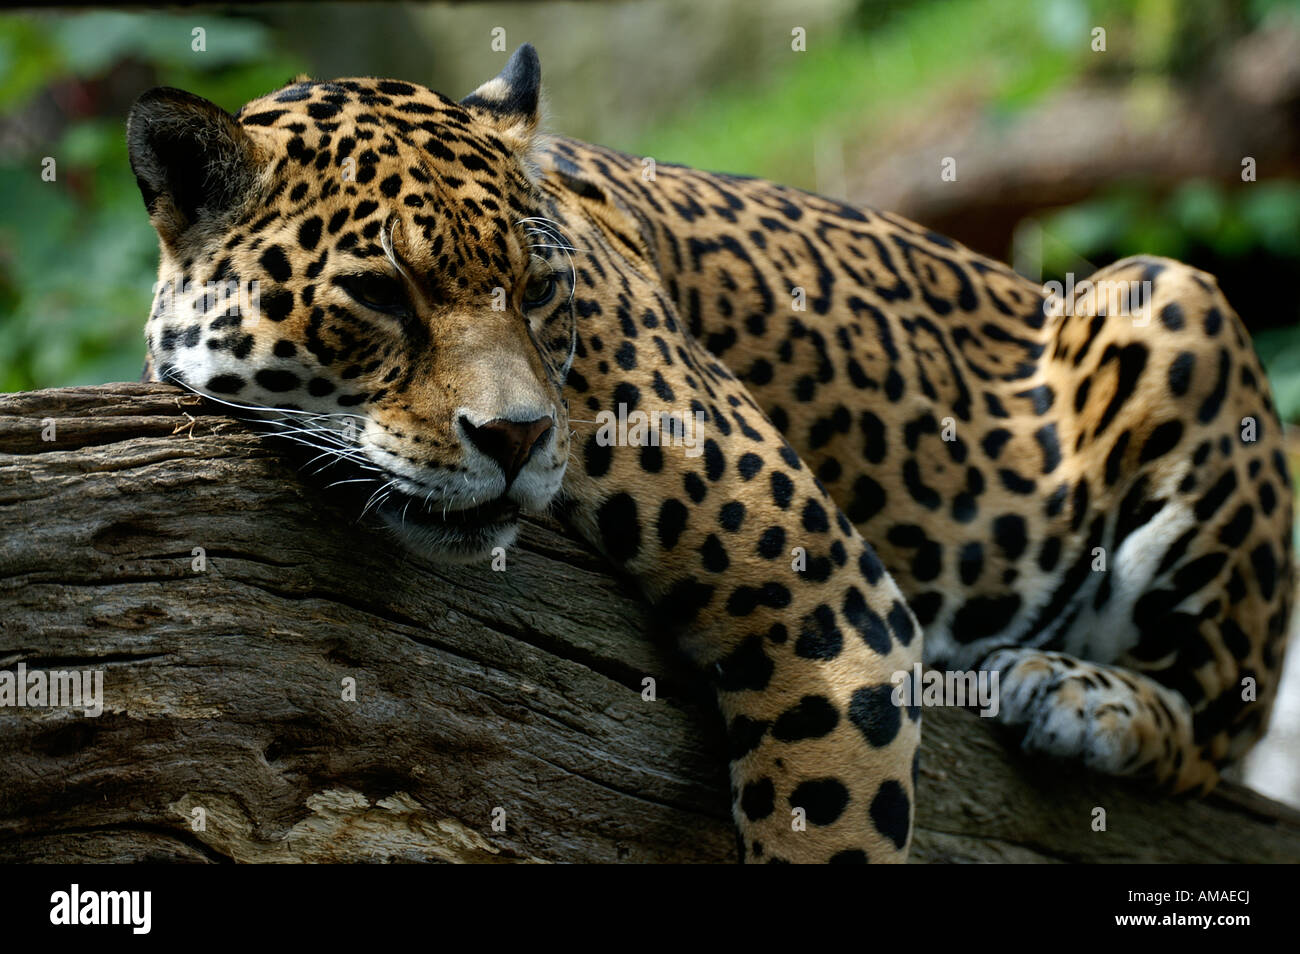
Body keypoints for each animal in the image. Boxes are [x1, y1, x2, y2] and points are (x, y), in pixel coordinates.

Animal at [125, 43, 1293, 863]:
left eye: (539, 289)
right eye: (377, 294)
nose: (516, 436)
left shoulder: (828, 599)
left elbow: (829, 825)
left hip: (1166, 300)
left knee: (1220, 722)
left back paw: (1078, 698)